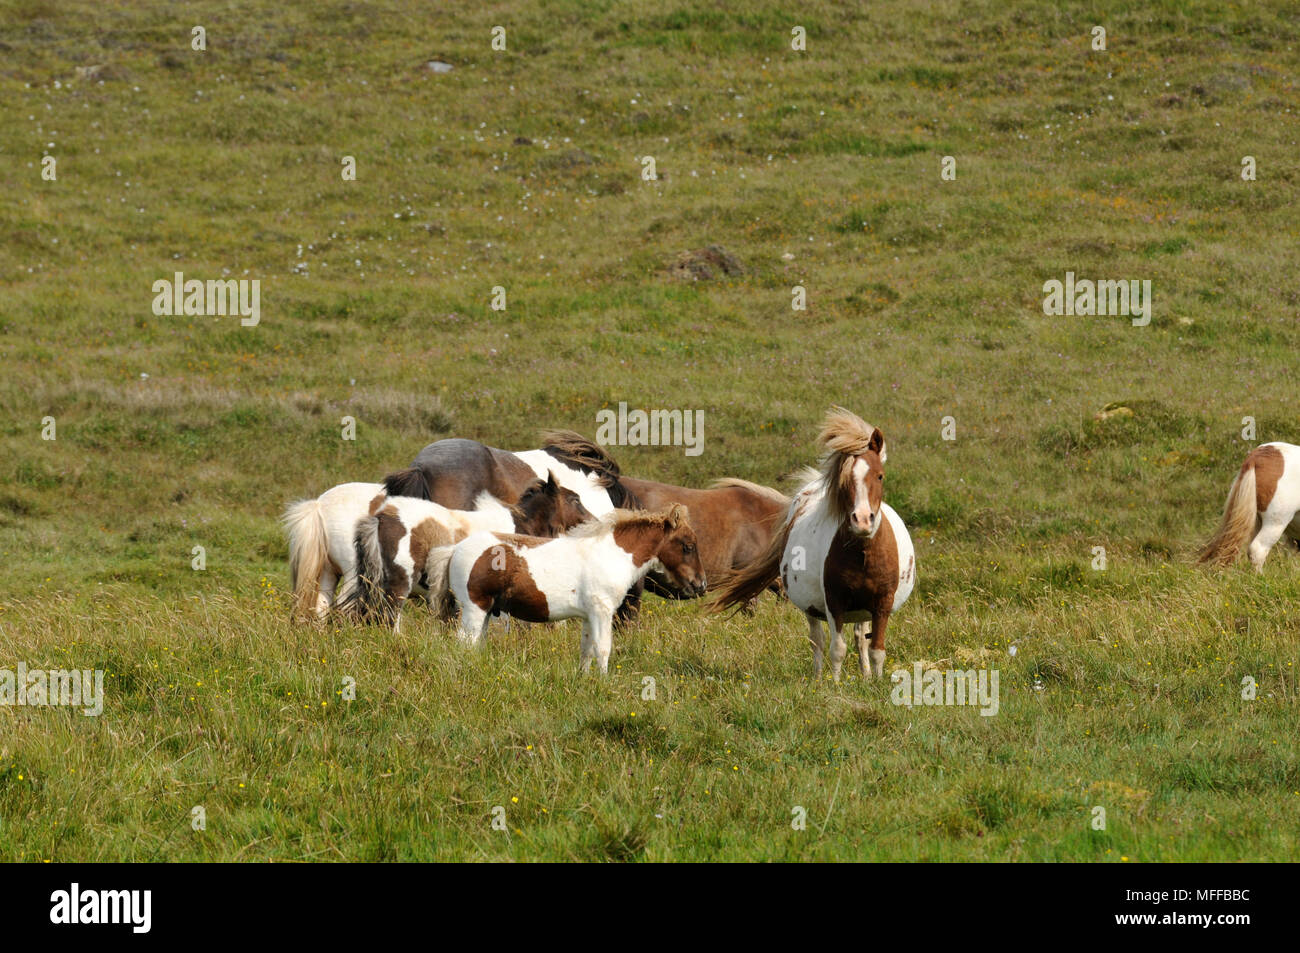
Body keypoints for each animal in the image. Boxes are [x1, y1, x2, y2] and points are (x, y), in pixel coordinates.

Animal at [283, 472, 591, 622]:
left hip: (329, 573)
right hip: (356, 576)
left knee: (323, 610)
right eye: (574, 499)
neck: (514, 525)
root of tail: (319, 505)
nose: (593, 520)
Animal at [427, 504, 706, 673]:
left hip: (484, 612)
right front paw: (604, 683)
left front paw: (584, 679)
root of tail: (455, 548)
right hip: (474, 609)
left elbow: (587, 650)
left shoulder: (589, 616)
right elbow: (603, 648)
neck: (610, 553)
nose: (701, 585)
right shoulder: (602, 612)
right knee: (466, 643)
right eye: (688, 545)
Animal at [710, 408, 915, 681]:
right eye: (843, 481)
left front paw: (876, 682)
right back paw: (818, 680)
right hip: (811, 608)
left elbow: (876, 649)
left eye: (879, 476)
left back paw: (864, 676)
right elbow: (837, 649)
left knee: (860, 638)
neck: (863, 554)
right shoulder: (834, 603)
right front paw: (836, 685)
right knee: (817, 639)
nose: (862, 520)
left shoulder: (882, 603)